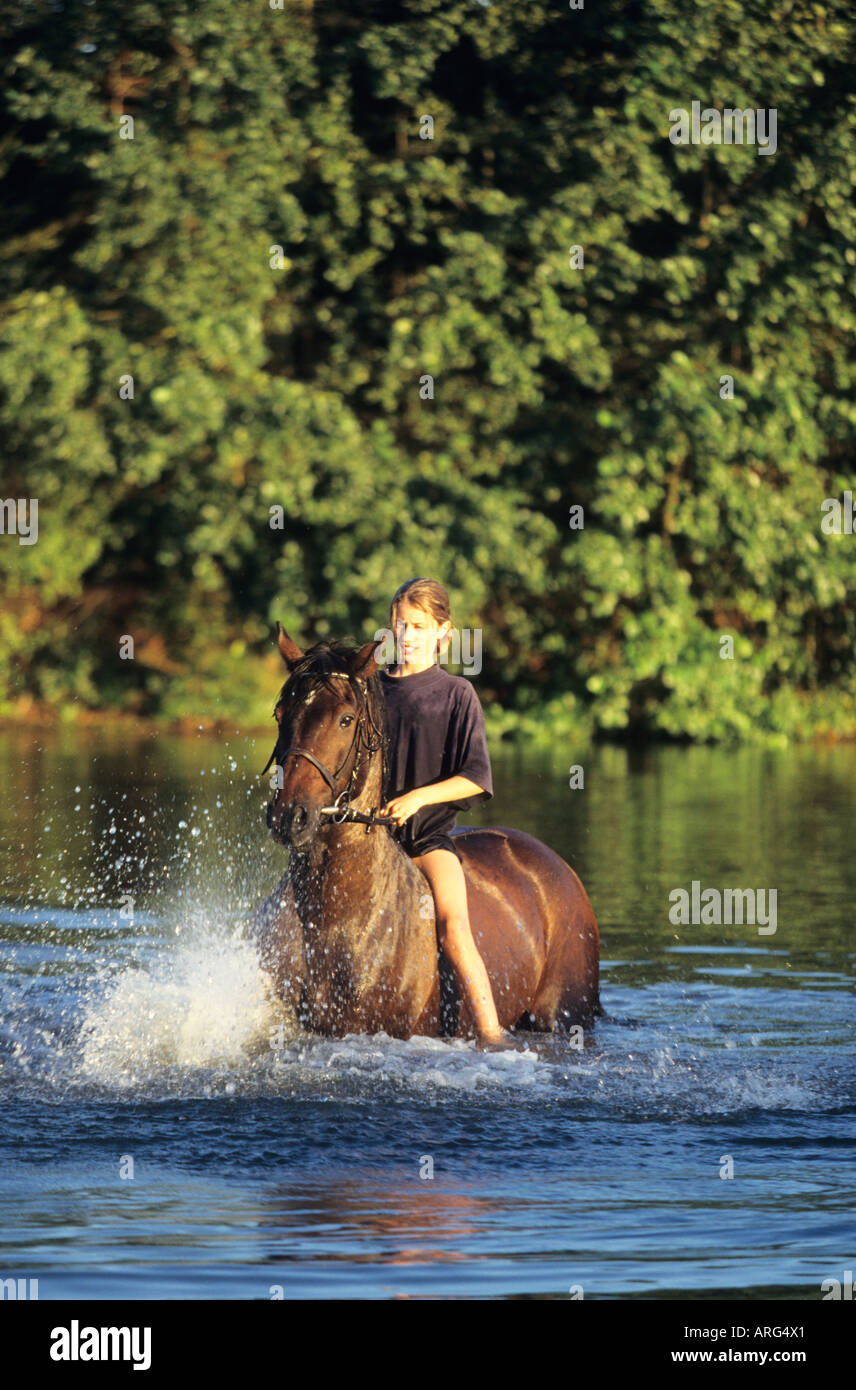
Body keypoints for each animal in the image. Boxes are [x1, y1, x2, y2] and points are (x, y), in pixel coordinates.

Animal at [248, 625, 601, 1040]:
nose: (290, 815)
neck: (333, 920)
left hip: (565, 1013)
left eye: (346, 719)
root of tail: (559, 866)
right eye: (280, 714)